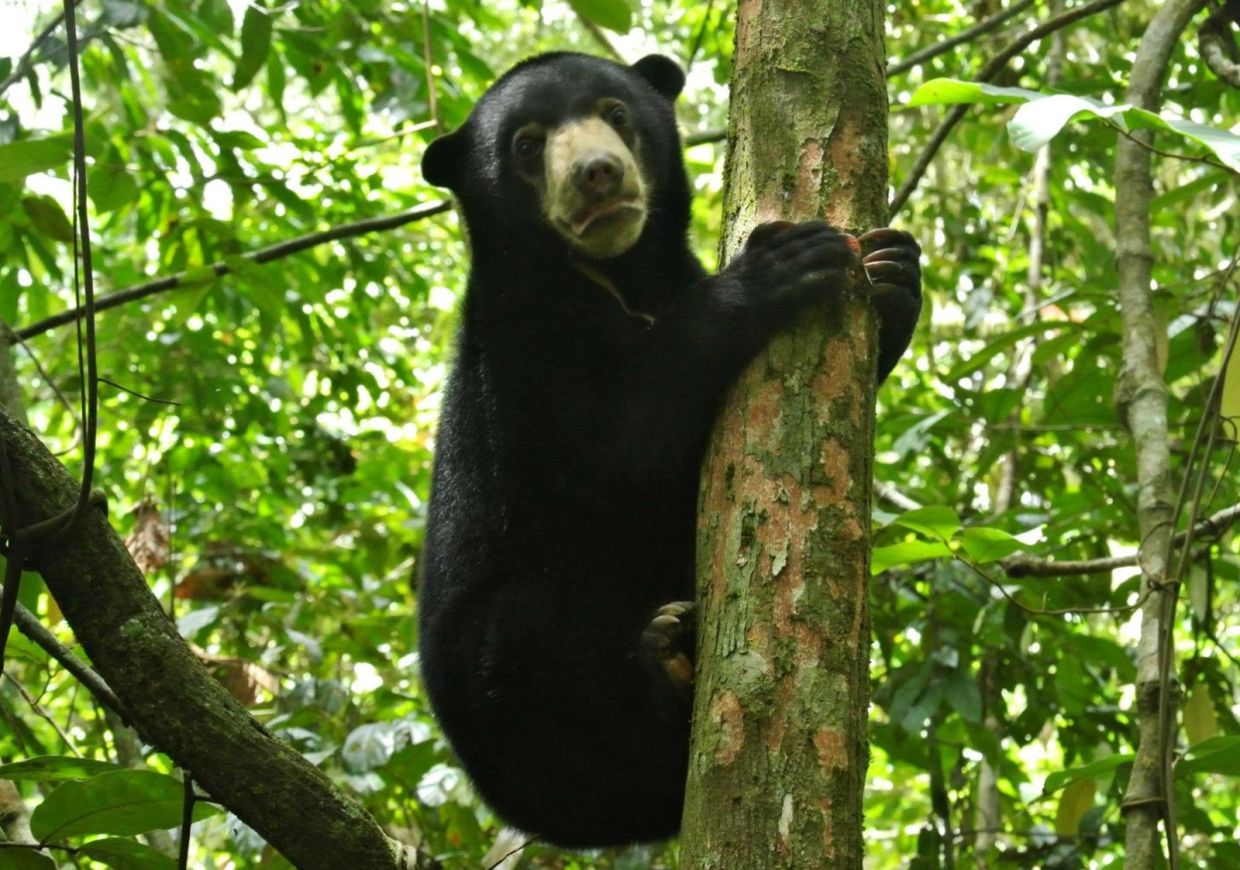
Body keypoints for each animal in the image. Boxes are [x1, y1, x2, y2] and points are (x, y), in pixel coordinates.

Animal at [417, 52, 921, 848]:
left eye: (616, 113)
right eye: (527, 146)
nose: (597, 174)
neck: (622, 275)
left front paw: (895, 269)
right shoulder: (519, 349)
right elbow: (617, 450)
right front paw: (779, 267)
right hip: (499, 680)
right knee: (533, 648)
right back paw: (666, 663)